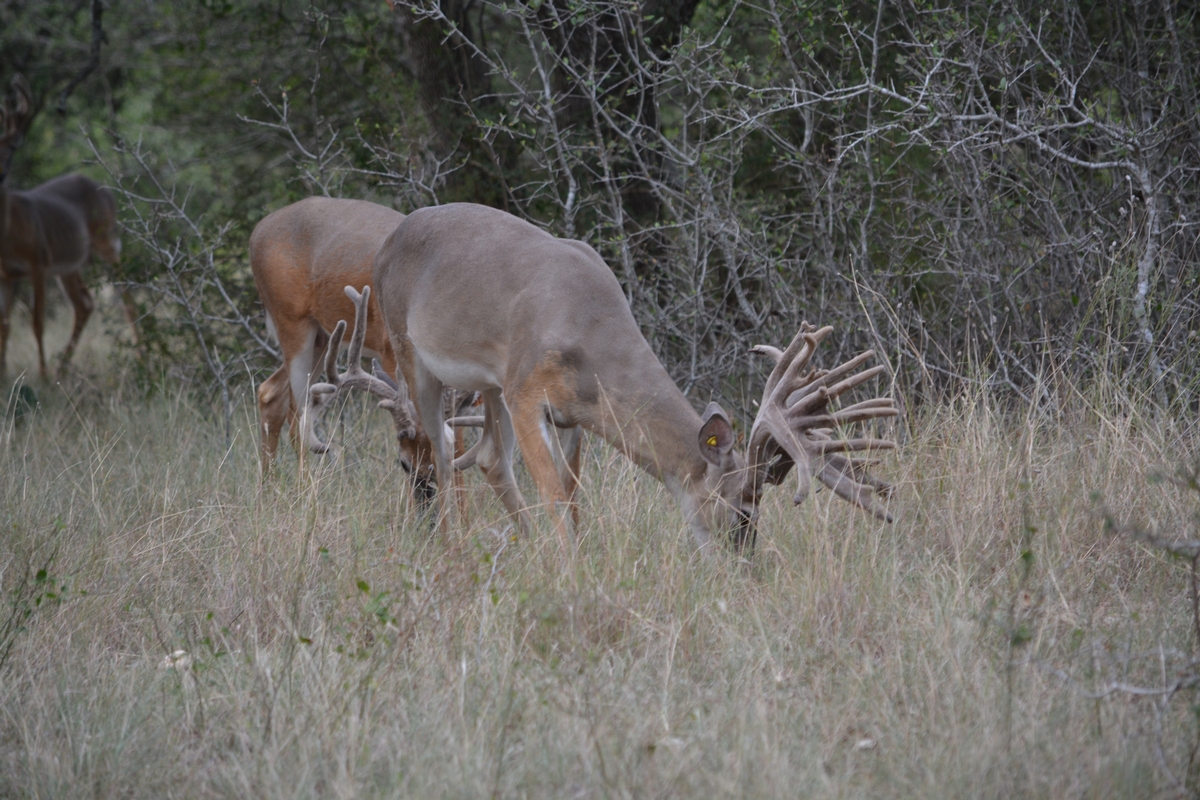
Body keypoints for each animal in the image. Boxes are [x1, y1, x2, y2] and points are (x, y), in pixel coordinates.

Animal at [0, 75, 125, 380]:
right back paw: (62, 368)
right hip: (70, 266)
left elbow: (37, 323)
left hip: (106, 241)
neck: (7, 235)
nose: (0, 175)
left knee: (124, 293)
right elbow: (5, 326)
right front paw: (5, 374)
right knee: (85, 303)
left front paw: (42, 377)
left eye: (11, 151)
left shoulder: (38, 263)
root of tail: (105, 189)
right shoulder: (5, 275)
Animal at [250, 197, 474, 506]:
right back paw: (305, 498)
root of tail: (258, 230)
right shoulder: (391, 351)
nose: (424, 494)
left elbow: (459, 438)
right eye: (403, 463)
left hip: (323, 336)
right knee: (299, 417)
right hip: (293, 322)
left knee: (271, 393)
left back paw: (267, 491)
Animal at [365, 202, 899, 556]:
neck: (590, 333)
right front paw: (571, 568)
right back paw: (451, 549)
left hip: (491, 383)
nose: (745, 561)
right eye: (742, 508)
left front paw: (570, 553)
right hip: (411, 352)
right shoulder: (526, 391)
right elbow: (554, 495)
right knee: (441, 449)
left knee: (490, 457)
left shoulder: (570, 414)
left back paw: (526, 545)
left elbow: (572, 493)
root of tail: (390, 239)